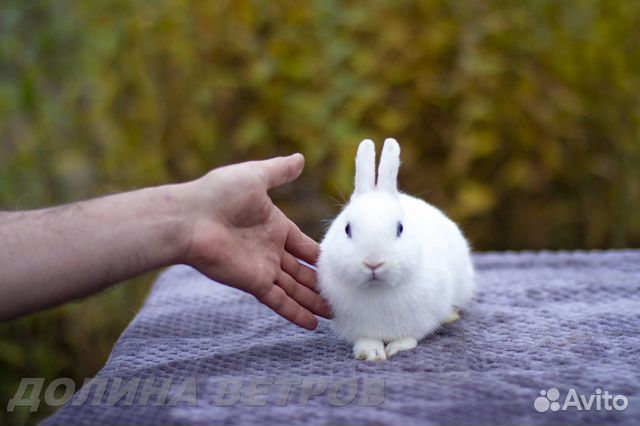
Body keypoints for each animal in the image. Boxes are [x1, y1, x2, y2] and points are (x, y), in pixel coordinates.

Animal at [317, 138, 475, 361]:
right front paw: (370, 353)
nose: (373, 262)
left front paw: (396, 348)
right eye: (347, 229)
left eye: (400, 228)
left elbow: (409, 337)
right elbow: (366, 339)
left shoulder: (422, 318)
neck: (377, 290)